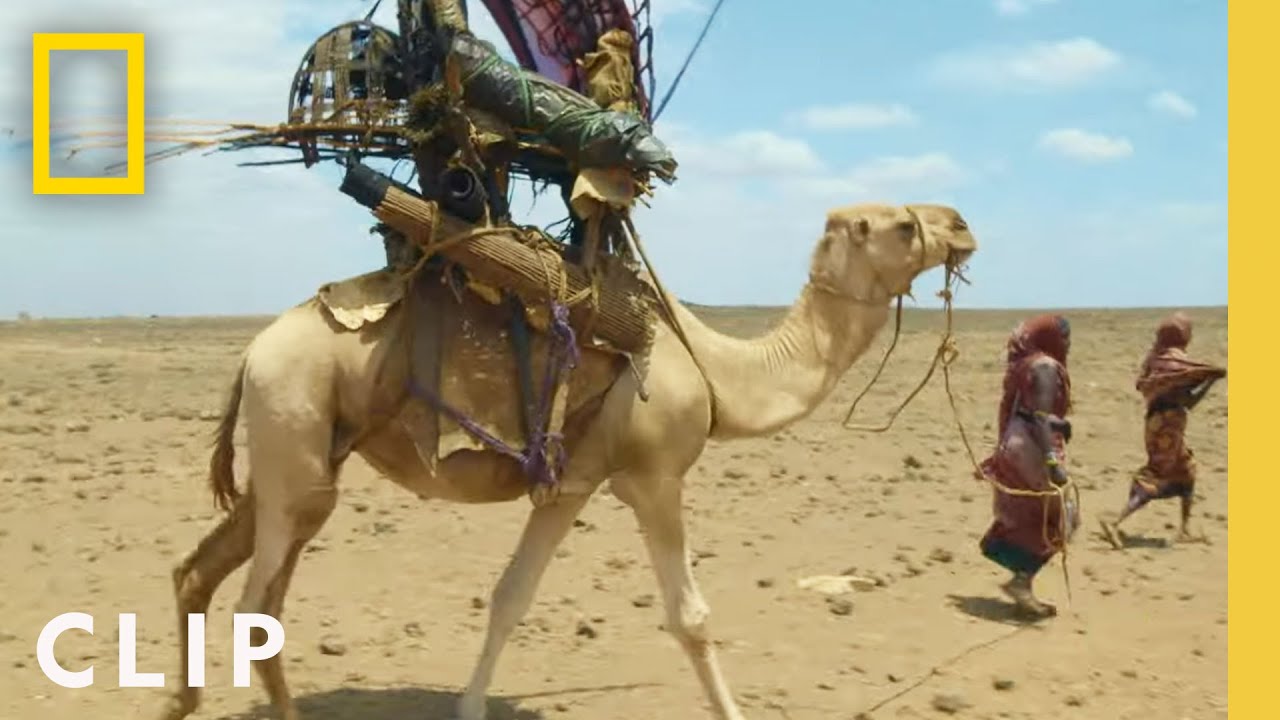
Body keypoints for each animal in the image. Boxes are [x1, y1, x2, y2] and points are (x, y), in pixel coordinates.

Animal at [152, 202, 977, 720]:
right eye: (901, 224)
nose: (962, 225)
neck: (717, 370)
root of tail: (253, 352)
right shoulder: (654, 478)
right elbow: (691, 617)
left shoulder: (570, 485)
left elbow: (511, 596)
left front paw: (470, 706)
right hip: (296, 442)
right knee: (256, 603)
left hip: (290, 461)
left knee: (203, 571)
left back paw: (181, 702)